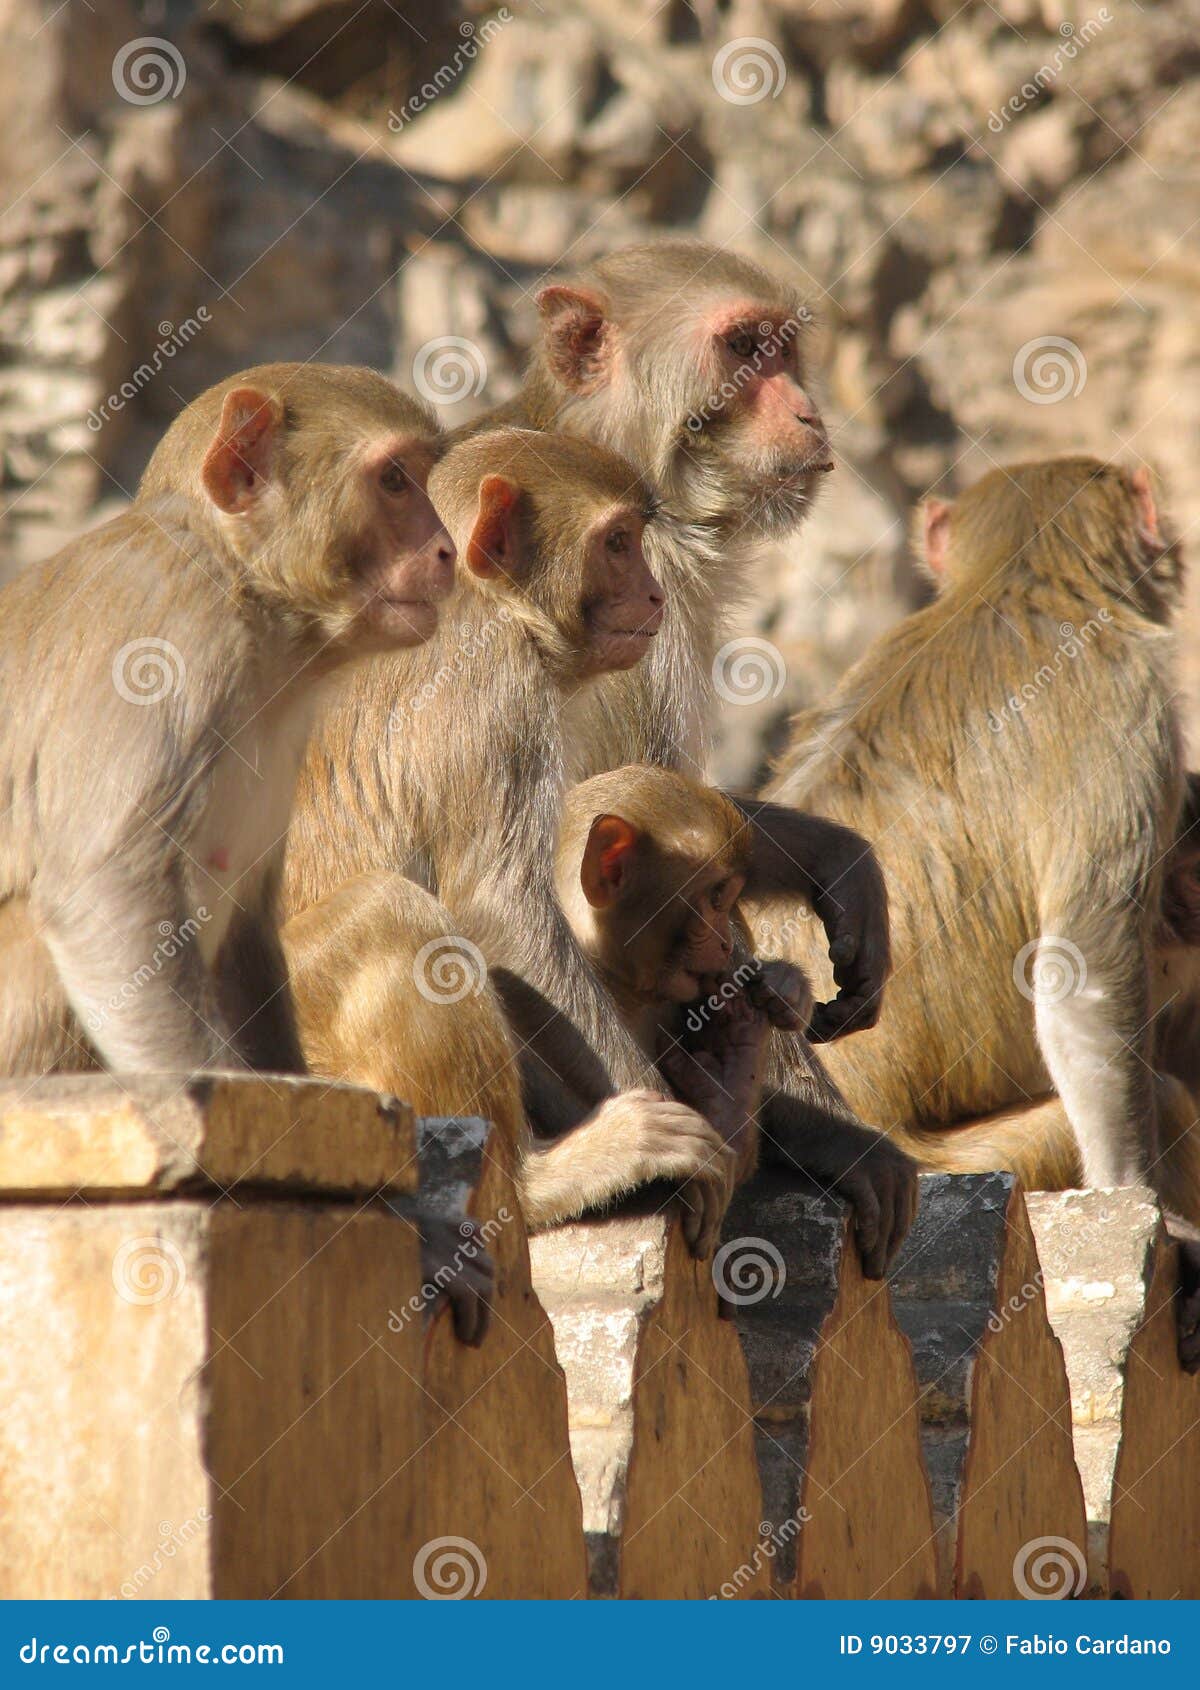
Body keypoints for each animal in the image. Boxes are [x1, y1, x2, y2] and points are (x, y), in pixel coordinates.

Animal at [761, 455, 1200, 1366]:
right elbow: (1081, 971)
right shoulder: (1129, 700)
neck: (1012, 582)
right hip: (979, 1164)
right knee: (1164, 1096)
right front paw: (1143, 1201)